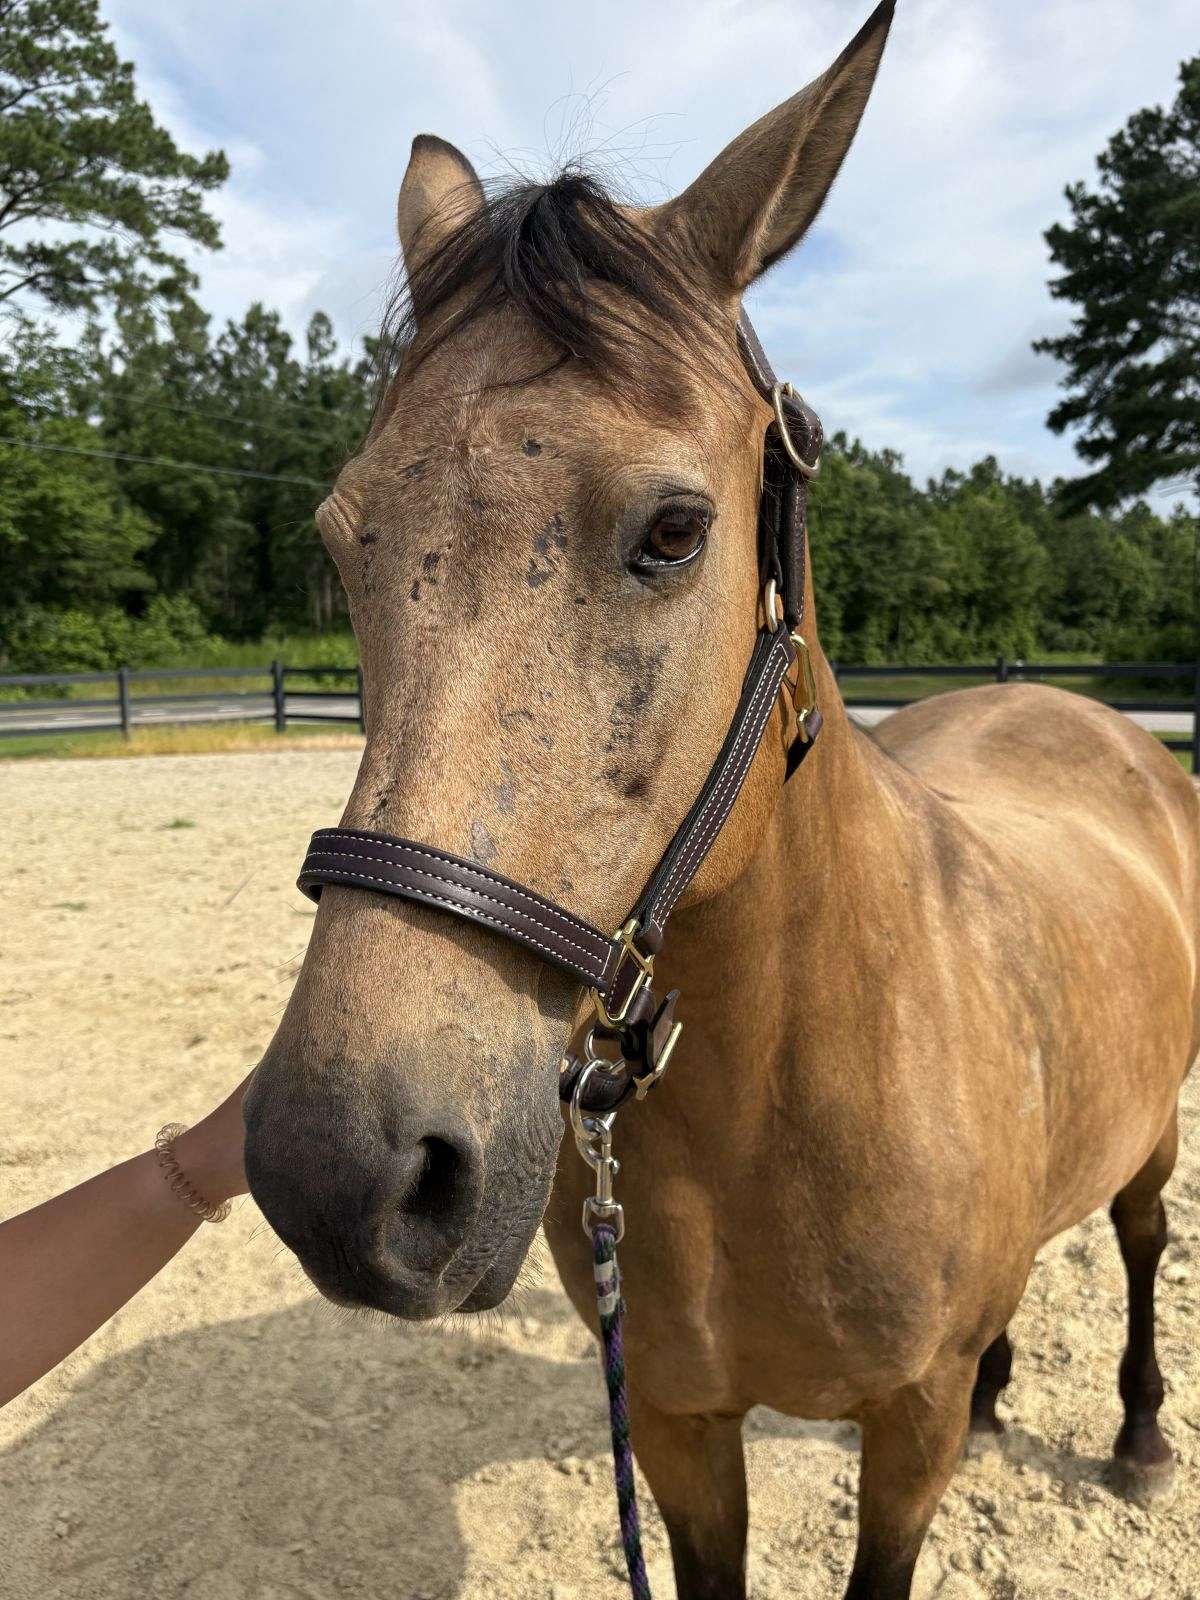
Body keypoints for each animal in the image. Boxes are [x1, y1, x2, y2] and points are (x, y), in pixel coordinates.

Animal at [242, 4, 1200, 1594]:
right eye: (340, 541)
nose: (342, 1173)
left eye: (676, 530)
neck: (785, 1092)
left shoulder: (903, 1437)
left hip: (1154, 1129)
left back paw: (1136, 1433)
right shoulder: (683, 1427)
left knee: (1137, 1239)